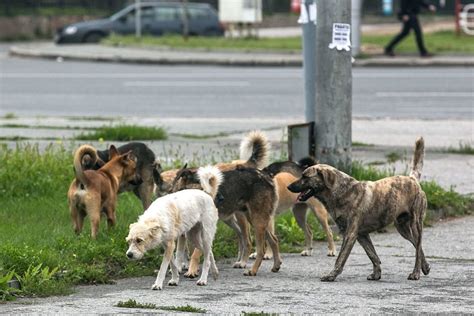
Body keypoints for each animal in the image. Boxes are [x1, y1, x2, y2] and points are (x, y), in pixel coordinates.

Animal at [288, 138, 430, 282]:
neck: (342, 192)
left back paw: (416, 273)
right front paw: (376, 274)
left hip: (416, 224)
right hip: (402, 228)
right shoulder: (362, 235)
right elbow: (373, 255)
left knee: (418, 247)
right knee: (417, 246)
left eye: (305, 177)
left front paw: (331, 275)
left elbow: (340, 258)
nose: (288, 186)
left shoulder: (350, 234)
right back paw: (425, 266)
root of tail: (412, 179)